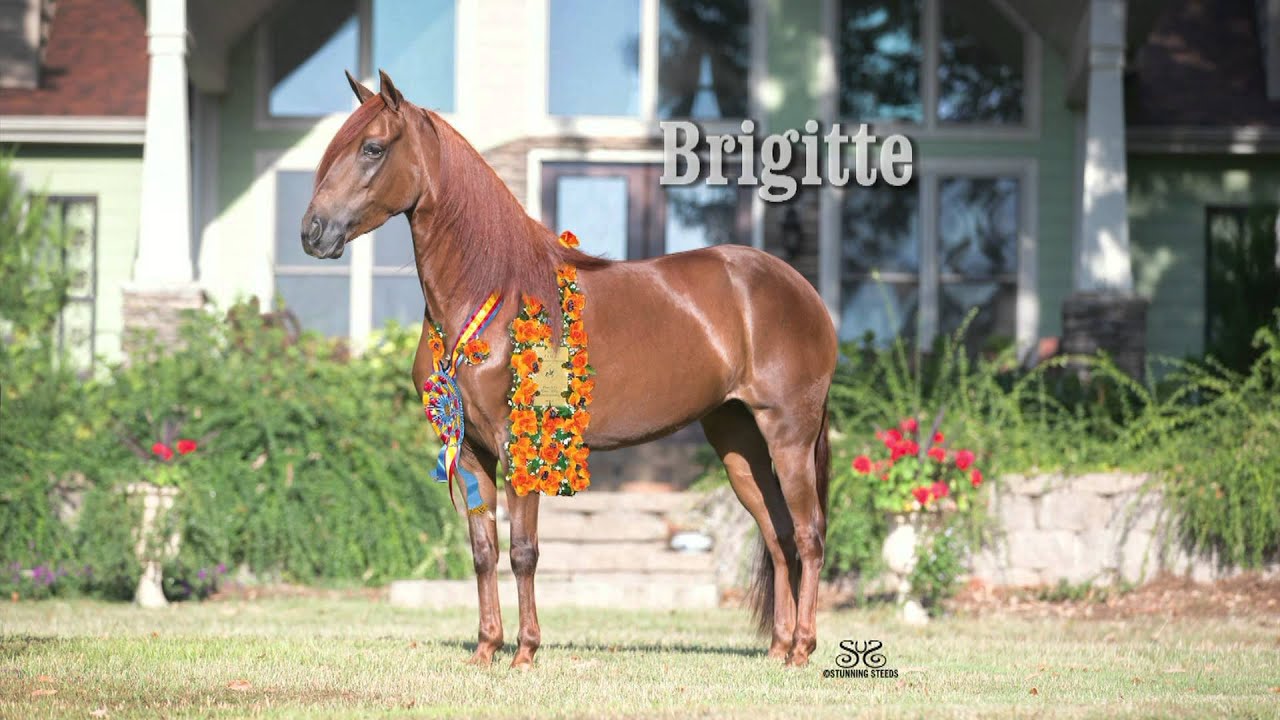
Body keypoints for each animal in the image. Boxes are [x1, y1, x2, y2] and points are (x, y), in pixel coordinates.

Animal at [301, 70, 837, 668]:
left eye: (372, 148)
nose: (312, 232)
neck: (491, 291)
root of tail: (801, 290)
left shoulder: (519, 443)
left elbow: (523, 551)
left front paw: (525, 652)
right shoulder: (470, 447)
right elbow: (483, 550)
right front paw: (486, 649)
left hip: (788, 436)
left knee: (809, 534)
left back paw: (803, 649)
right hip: (738, 442)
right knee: (778, 535)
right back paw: (779, 649)